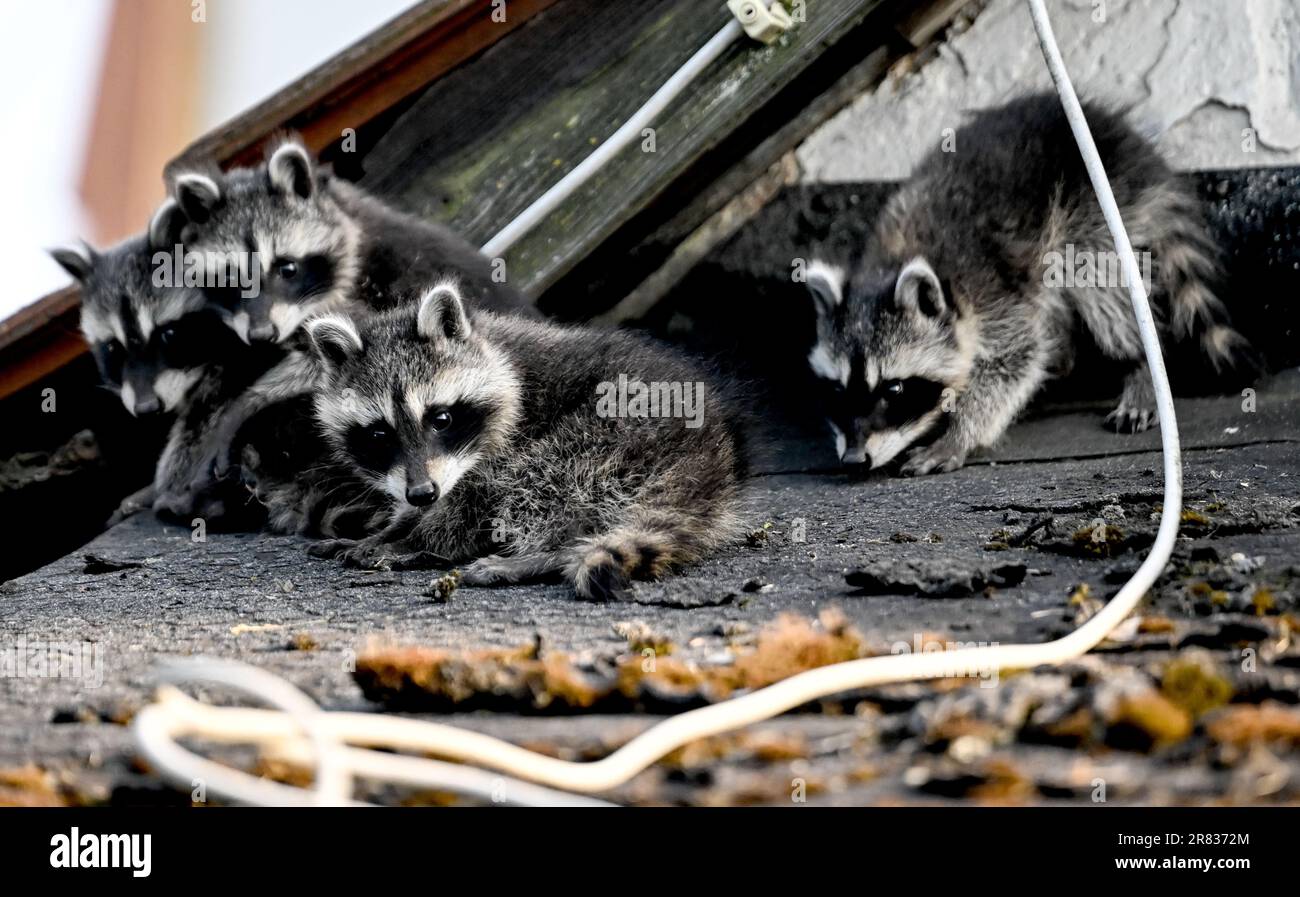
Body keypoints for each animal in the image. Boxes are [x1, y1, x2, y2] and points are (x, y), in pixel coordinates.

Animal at [303, 281, 749, 601]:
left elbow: (470, 508)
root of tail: (707, 456)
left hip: (613, 435)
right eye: (379, 434)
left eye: (441, 418)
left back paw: (545, 554)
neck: (493, 351)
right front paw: (389, 530)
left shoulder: (506, 445)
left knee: (543, 482)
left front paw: (410, 540)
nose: (422, 493)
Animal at [803, 93, 1251, 476]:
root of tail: (1134, 146)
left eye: (894, 388)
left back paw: (1137, 360)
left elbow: (1014, 359)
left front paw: (960, 433)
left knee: (1099, 287)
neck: (897, 257)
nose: (854, 460)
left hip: (1094, 209)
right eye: (838, 390)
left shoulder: (992, 292)